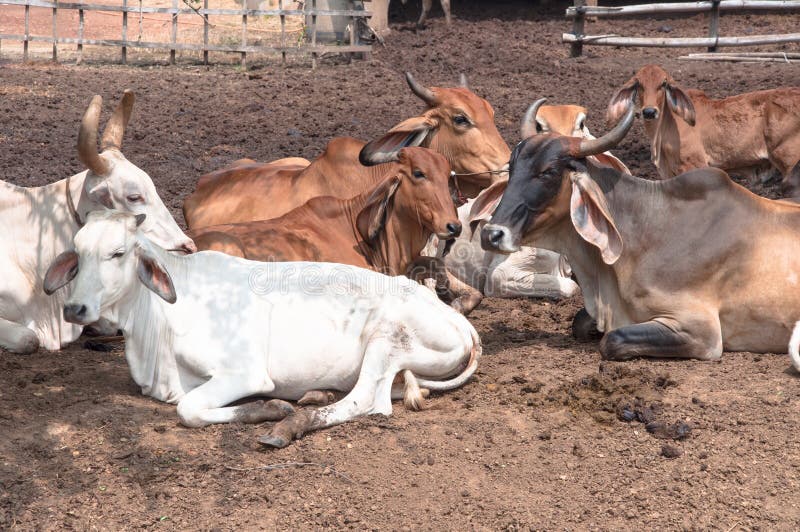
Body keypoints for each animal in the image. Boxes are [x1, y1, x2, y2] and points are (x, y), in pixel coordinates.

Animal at [43, 210, 481, 447]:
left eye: (118, 253)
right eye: (77, 253)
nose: (75, 308)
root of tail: (457, 319)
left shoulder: (244, 372)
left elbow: (189, 410)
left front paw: (271, 409)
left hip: (385, 341)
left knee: (364, 402)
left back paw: (291, 424)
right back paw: (316, 392)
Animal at [481, 102, 800, 361]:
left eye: (547, 172)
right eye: (511, 168)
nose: (491, 234)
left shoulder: (701, 331)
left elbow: (612, 340)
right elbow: (580, 323)